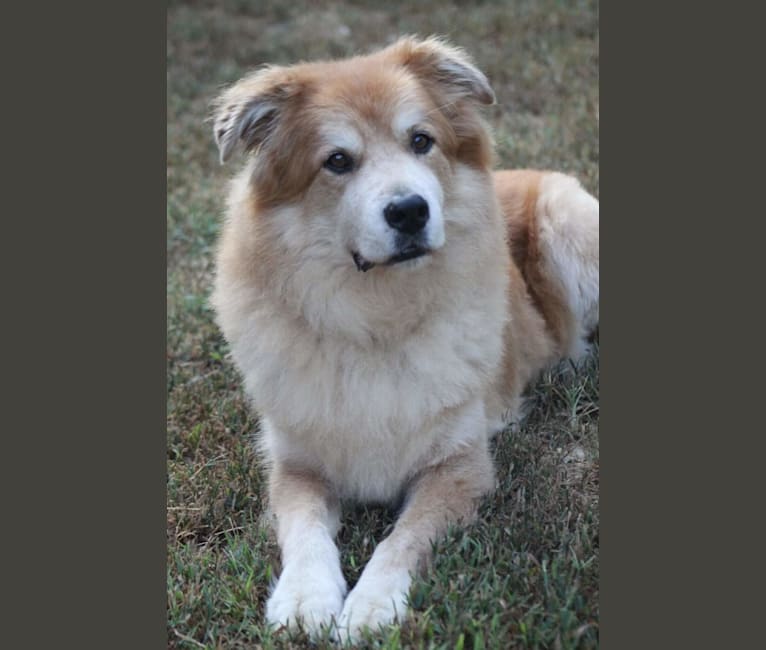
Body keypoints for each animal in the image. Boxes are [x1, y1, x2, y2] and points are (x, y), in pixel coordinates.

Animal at [210, 35, 600, 636]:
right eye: (337, 160)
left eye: (421, 141)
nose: (411, 211)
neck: (379, 318)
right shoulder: (295, 466)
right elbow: (304, 532)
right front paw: (305, 597)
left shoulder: (458, 467)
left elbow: (403, 539)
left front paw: (372, 604)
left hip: (568, 221)